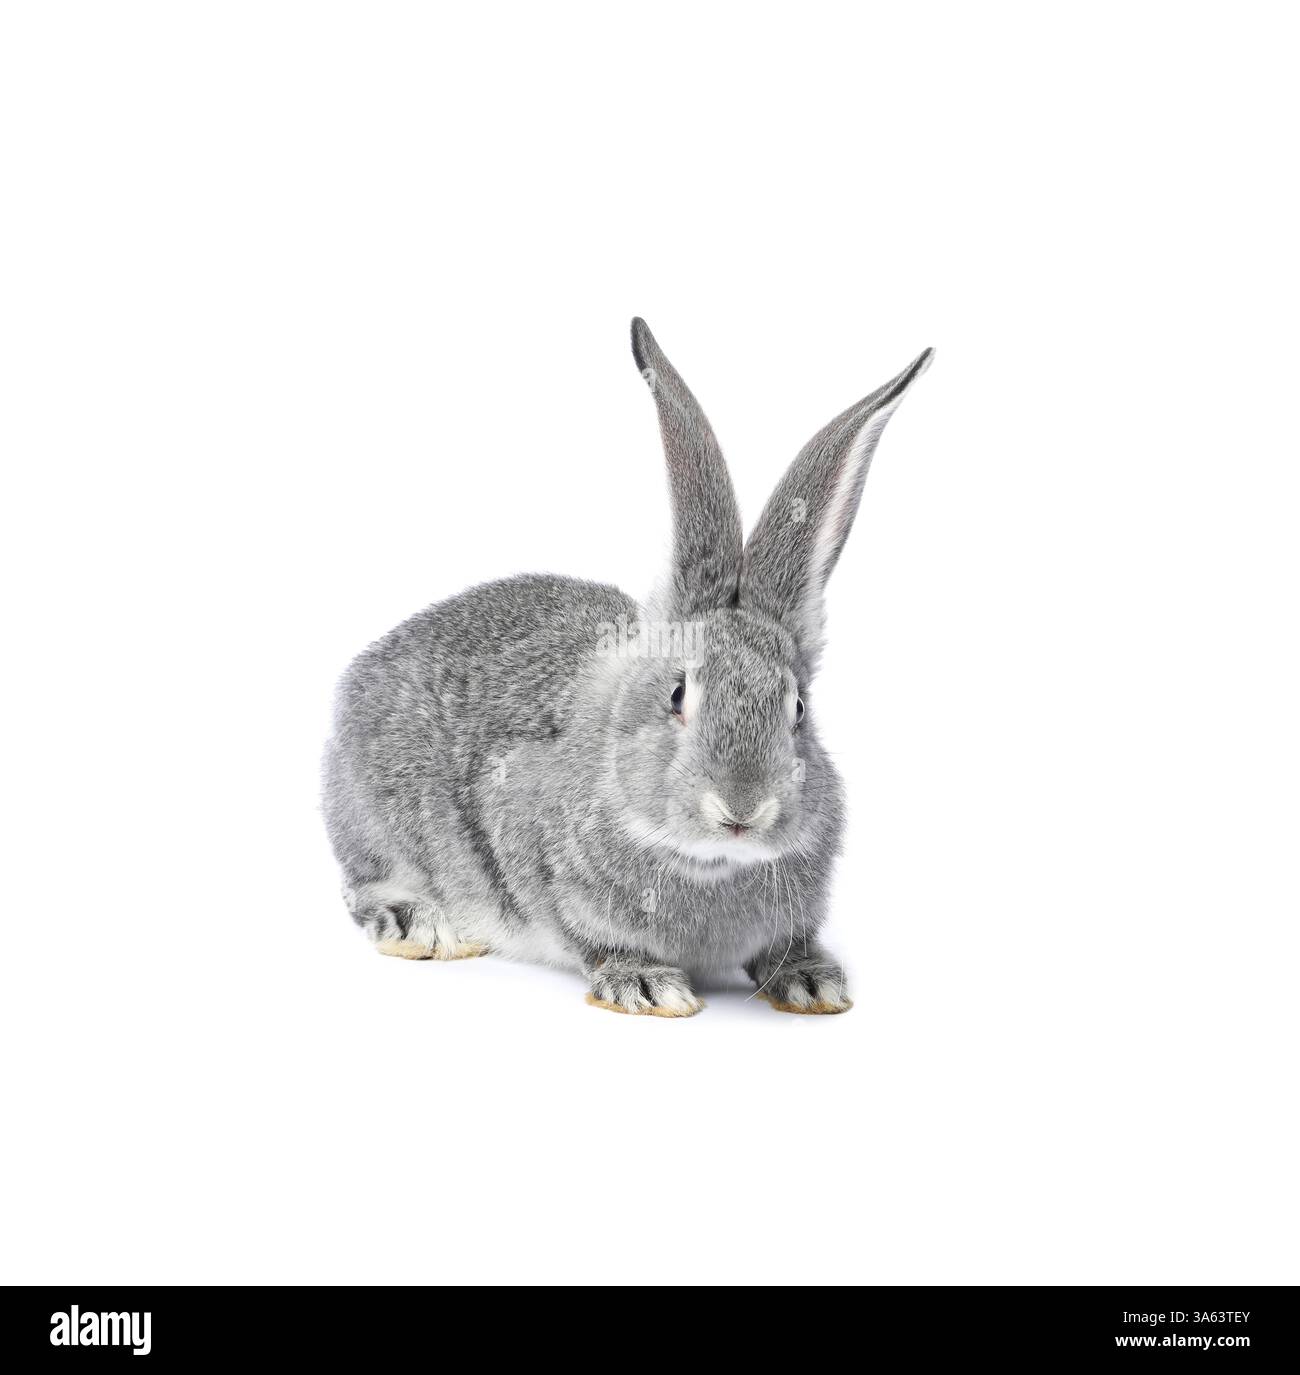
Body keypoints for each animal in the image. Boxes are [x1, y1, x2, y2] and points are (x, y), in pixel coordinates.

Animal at [322, 319, 932, 1016]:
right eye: (678, 694)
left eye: (798, 708)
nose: (741, 809)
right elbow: (592, 940)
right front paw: (646, 986)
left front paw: (812, 981)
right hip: (370, 822)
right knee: (363, 884)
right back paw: (421, 926)